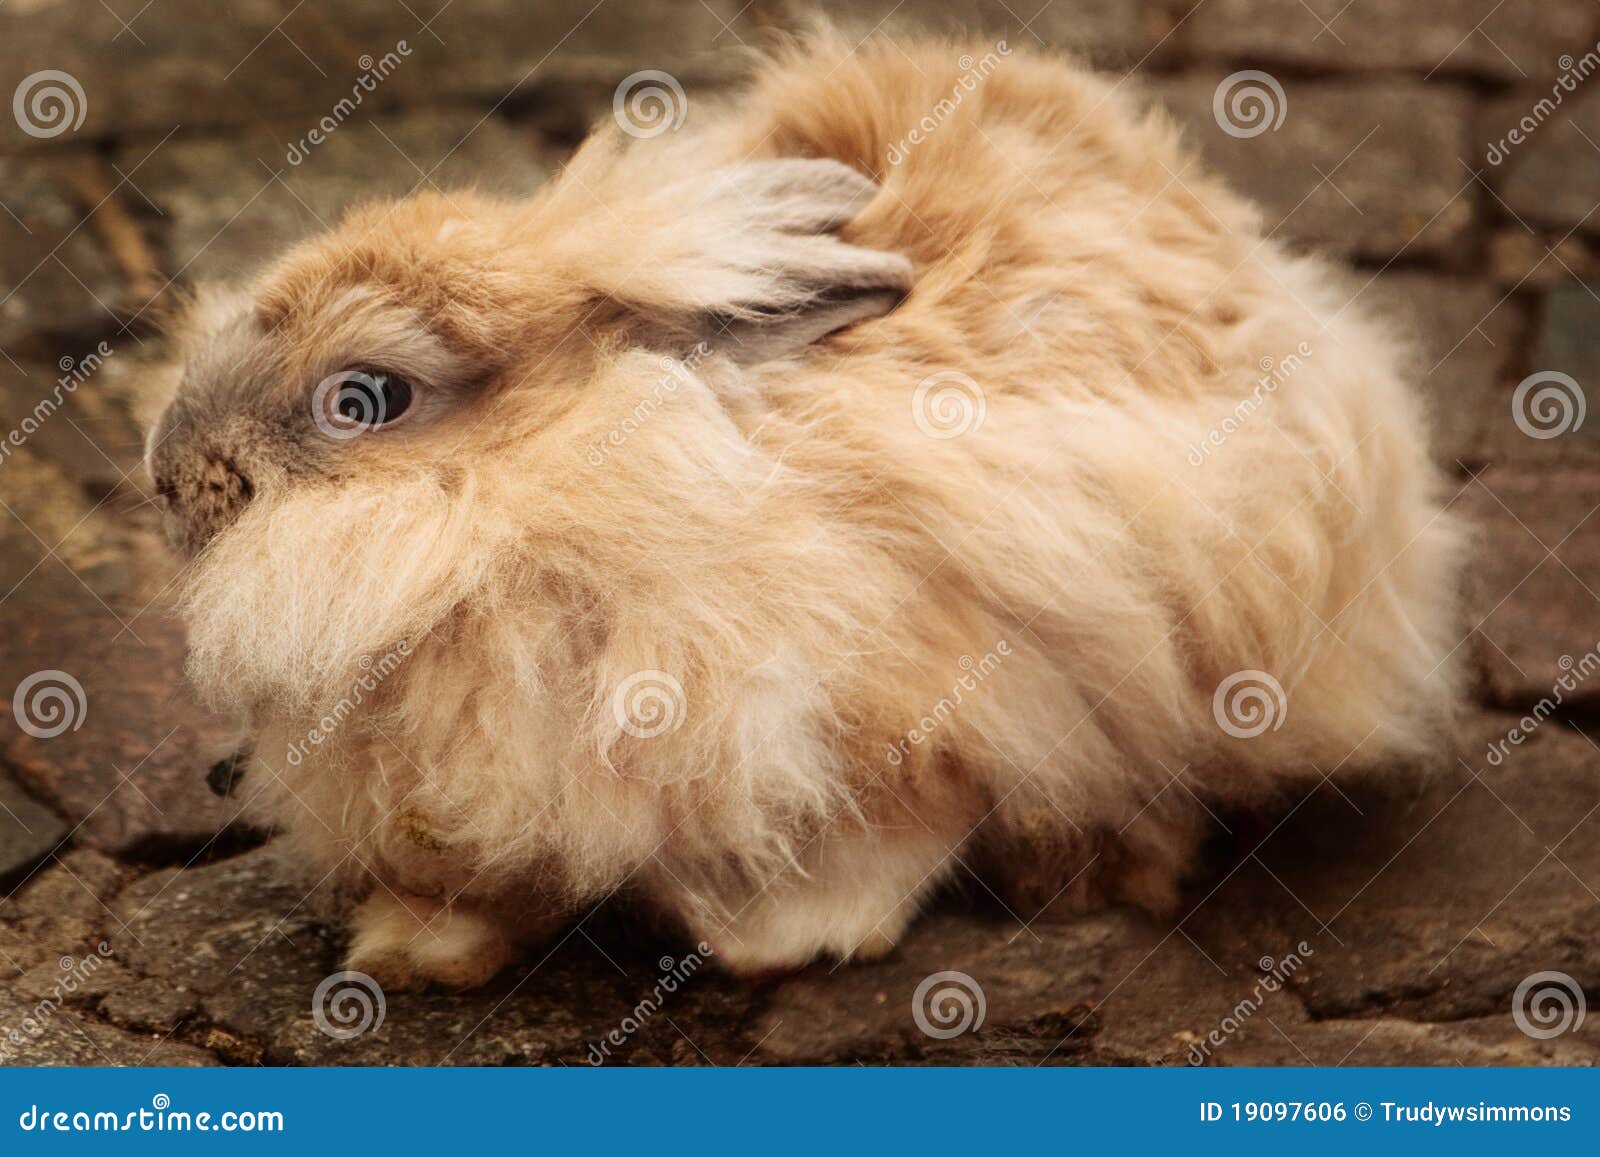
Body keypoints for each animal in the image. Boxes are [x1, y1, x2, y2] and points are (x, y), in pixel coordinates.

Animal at [146, 29, 1465, 989]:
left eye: (366, 398)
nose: (169, 473)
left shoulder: (935, 707)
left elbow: (894, 833)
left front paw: (781, 937)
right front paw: (412, 950)